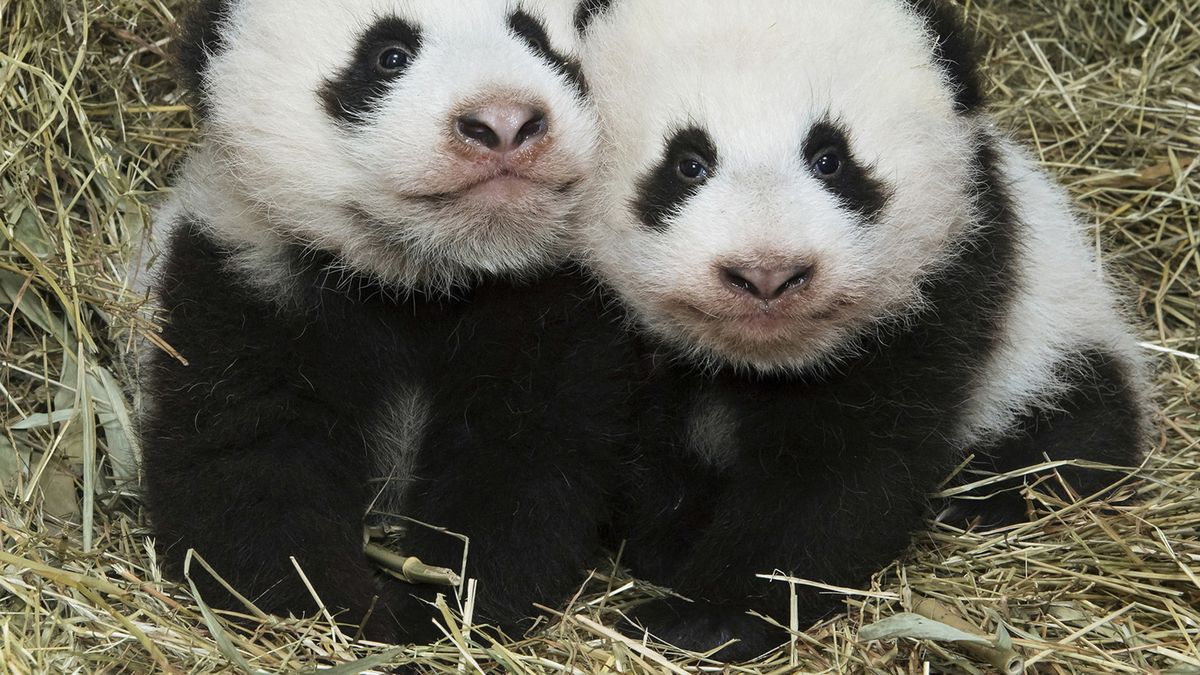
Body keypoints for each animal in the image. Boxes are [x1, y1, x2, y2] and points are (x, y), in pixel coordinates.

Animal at [139, 0, 635, 644]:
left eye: (536, 38)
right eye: (389, 55)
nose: (503, 122)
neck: (422, 279)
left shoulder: (553, 308)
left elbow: (525, 464)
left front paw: (443, 612)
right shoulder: (238, 283)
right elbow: (243, 463)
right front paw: (343, 612)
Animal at [576, 0, 1150, 661]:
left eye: (831, 159)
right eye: (687, 164)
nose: (767, 274)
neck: (759, 361)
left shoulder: (938, 298)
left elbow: (841, 475)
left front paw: (705, 618)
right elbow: (631, 449)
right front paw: (672, 550)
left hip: (1053, 343)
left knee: (1073, 433)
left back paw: (983, 502)